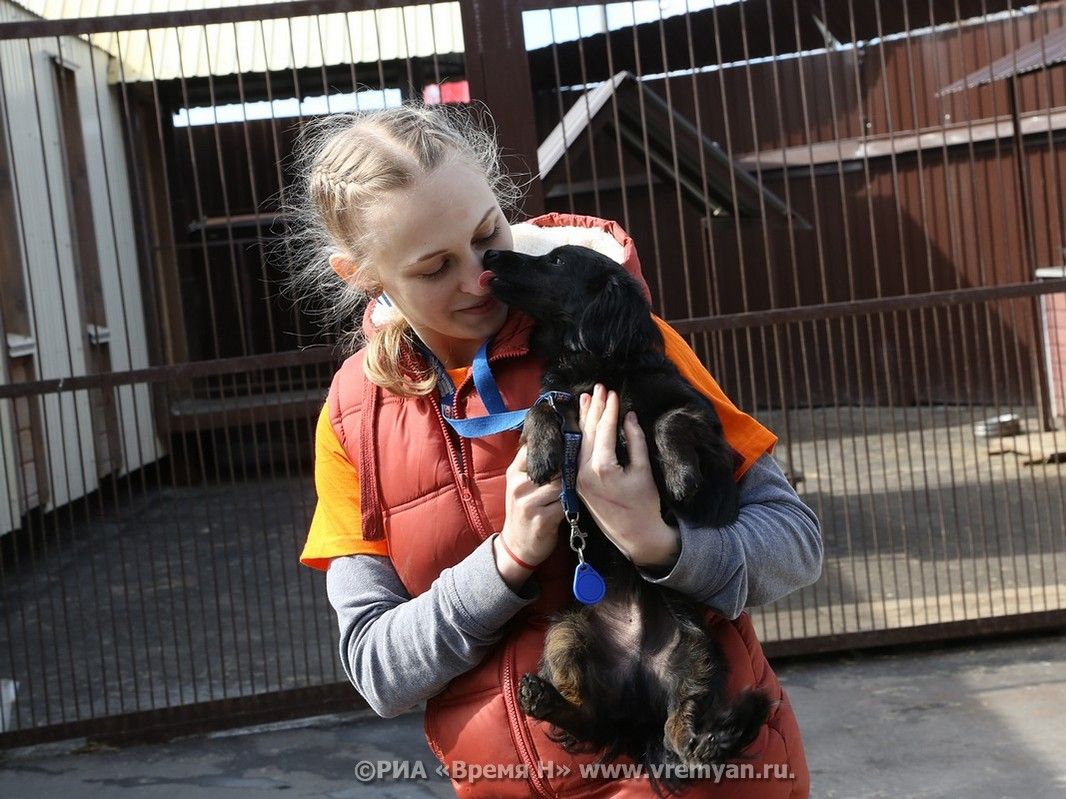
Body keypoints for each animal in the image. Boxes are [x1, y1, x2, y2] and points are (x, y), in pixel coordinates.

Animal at [481, 247, 767, 796]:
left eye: (556, 261)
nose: (488, 252)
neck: (599, 368)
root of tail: (635, 706)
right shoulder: (561, 400)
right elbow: (539, 408)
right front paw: (542, 452)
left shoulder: (712, 450)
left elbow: (670, 420)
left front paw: (678, 476)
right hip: (567, 634)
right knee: (588, 715)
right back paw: (543, 698)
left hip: (696, 657)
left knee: (681, 733)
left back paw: (702, 743)